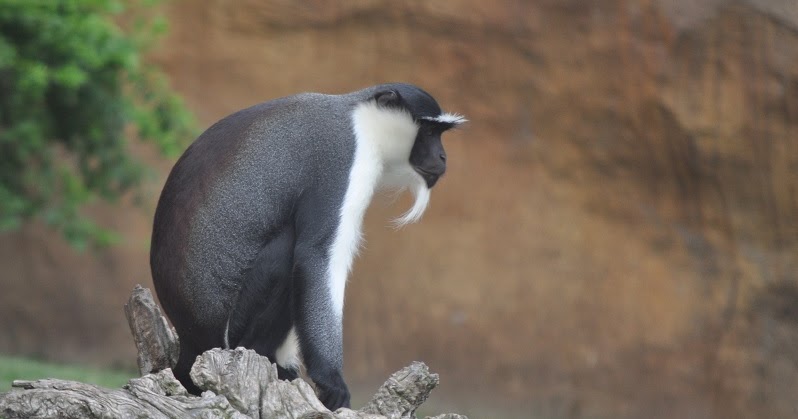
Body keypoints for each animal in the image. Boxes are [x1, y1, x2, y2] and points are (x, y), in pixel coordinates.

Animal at [149, 83, 465, 411]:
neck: (361, 117)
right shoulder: (341, 160)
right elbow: (316, 256)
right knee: (287, 247)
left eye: (440, 133)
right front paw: (332, 382)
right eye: (429, 131)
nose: (443, 157)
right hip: (233, 331)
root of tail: (191, 343)